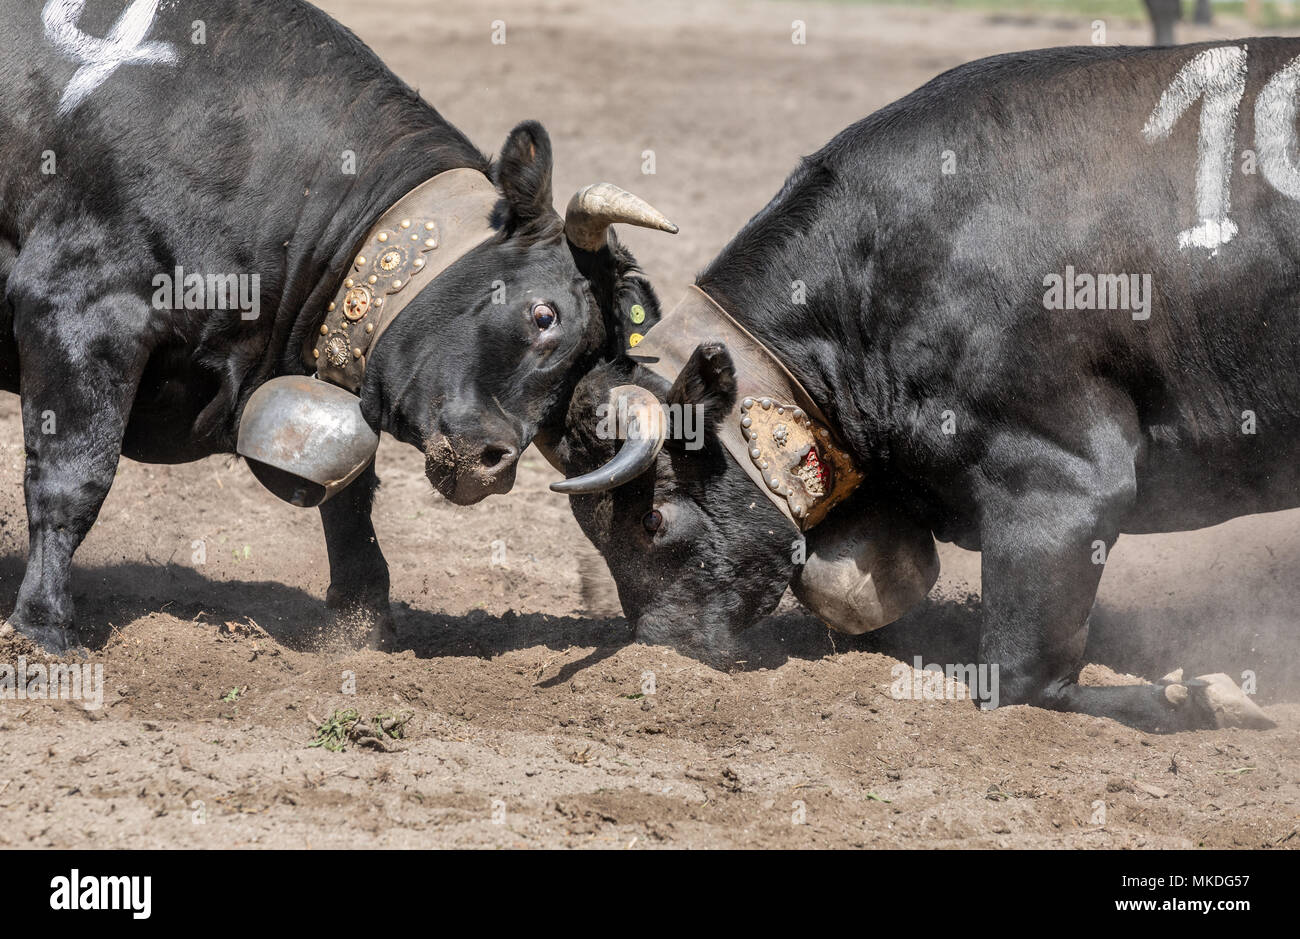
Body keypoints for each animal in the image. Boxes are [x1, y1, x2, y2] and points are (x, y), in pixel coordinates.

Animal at [0, 0, 675, 652]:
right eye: (543, 314)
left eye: (588, 367)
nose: (498, 461)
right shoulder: (80, 307)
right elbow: (73, 477)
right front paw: (43, 630)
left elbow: (350, 497)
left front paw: (361, 622)